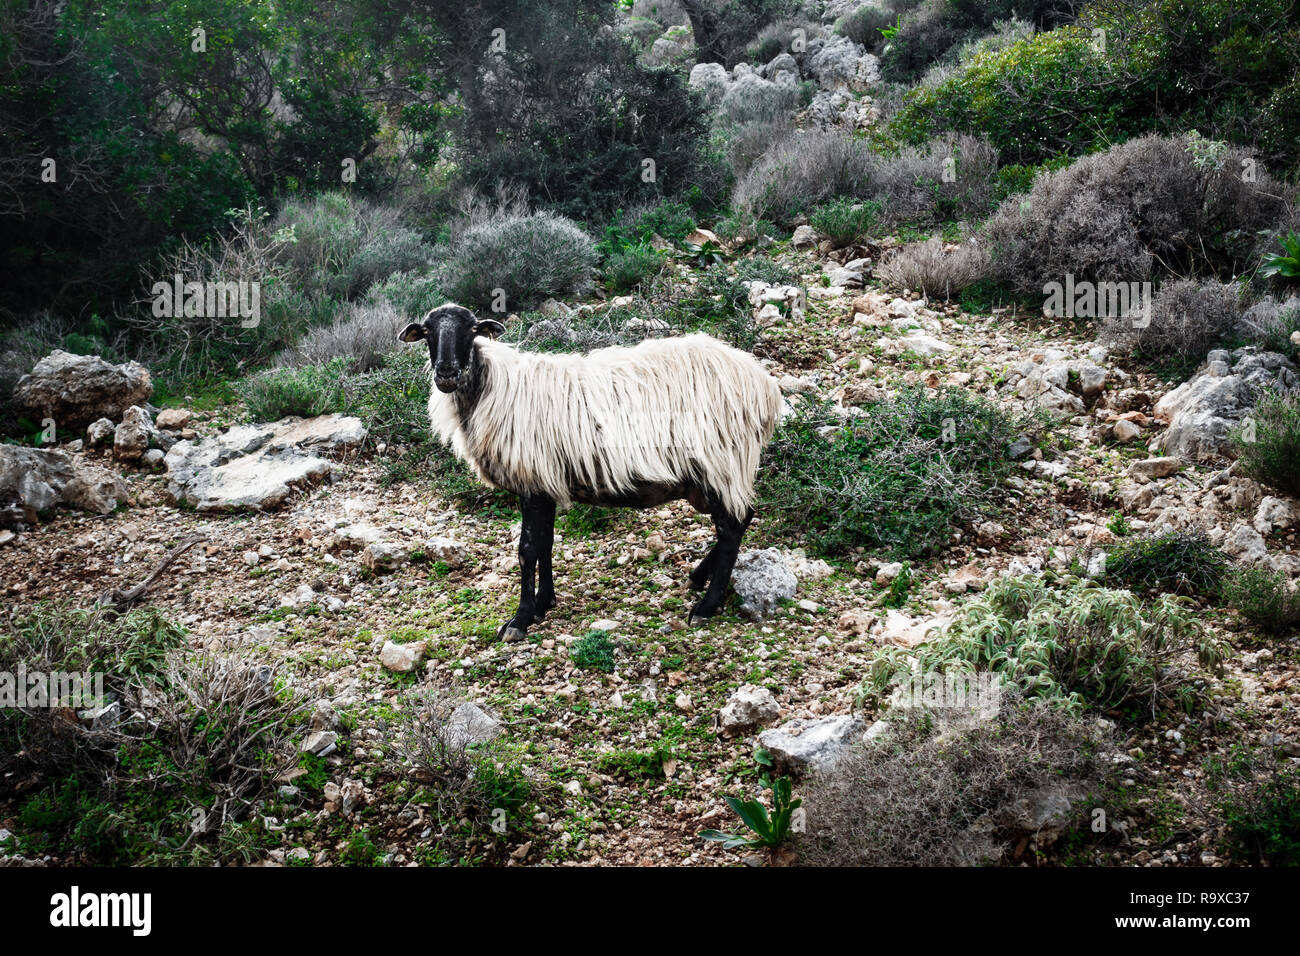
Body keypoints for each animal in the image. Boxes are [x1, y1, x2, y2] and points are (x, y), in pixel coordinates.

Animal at [399, 303, 783, 641]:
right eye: (428, 332)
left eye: (471, 329)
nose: (446, 373)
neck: (490, 387)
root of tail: (764, 385)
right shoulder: (546, 484)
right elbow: (546, 544)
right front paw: (543, 603)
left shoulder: (532, 482)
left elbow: (526, 549)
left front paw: (519, 620)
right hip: (710, 475)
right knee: (741, 519)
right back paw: (698, 577)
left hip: (721, 461)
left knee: (732, 527)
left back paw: (706, 605)